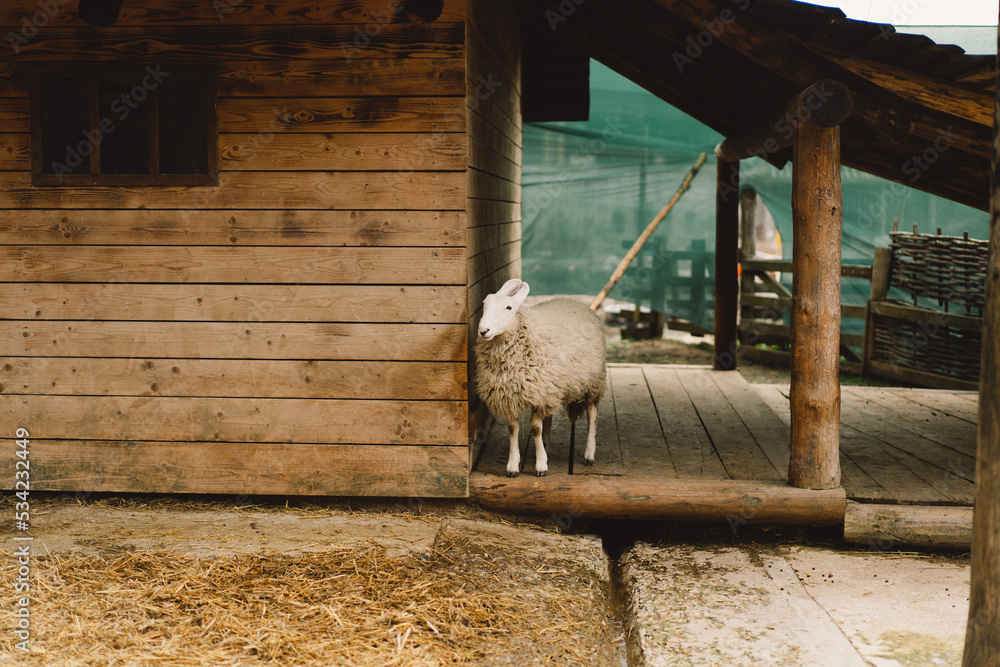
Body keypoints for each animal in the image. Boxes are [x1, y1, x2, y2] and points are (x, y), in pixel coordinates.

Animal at [475, 279, 607, 477]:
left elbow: (535, 428)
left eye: (508, 307)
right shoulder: (509, 395)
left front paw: (541, 465)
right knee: (549, 417)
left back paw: (589, 454)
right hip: (552, 388)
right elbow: (513, 428)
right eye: (484, 304)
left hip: (593, 383)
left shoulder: (538, 392)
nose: (484, 330)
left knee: (593, 417)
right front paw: (513, 465)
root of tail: (573, 300)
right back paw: (546, 445)